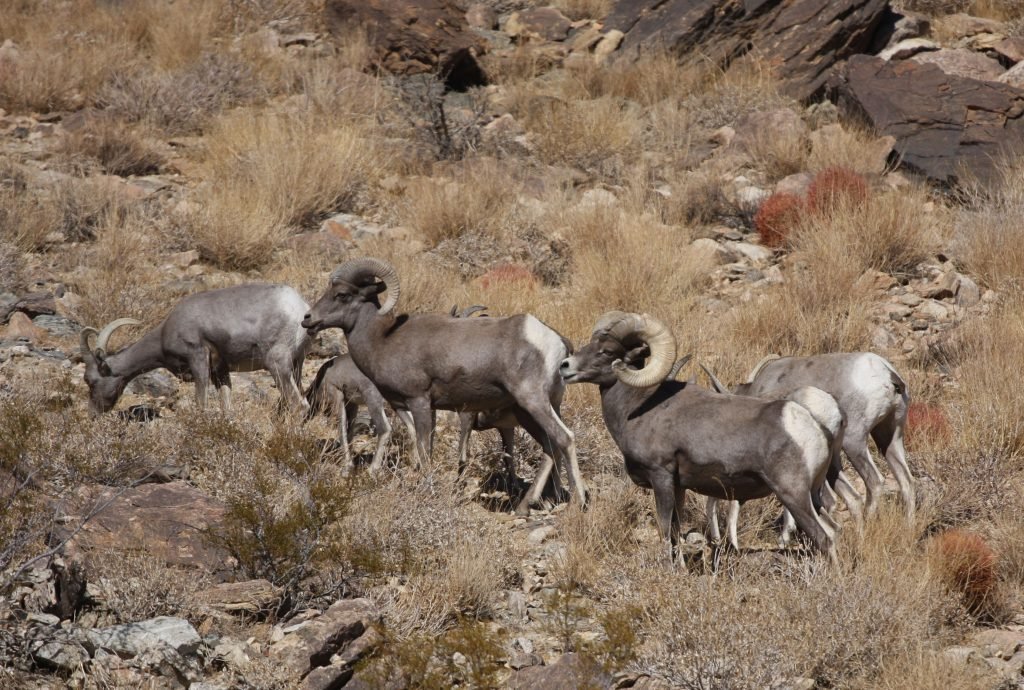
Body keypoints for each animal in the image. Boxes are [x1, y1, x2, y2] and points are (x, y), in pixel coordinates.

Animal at [80, 283, 310, 414]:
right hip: (296, 366)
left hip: (276, 364)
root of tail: (300, 308)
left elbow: (201, 404)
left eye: (90, 380)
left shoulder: (198, 358)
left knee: (299, 405)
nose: (93, 414)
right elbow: (226, 408)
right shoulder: (220, 370)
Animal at [301, 257, 586, 513]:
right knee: (550, 447)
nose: (307, 319)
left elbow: (425, 450)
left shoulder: (420, 402)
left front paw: (428, 490)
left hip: (533, 401)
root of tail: (556, 341)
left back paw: (577, 503)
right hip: (530, 410)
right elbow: (423, 445)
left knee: (564, 439)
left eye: (342, 294)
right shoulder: (411, 407)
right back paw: (525, 507)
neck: (382, 340)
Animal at [558, 311, 838, 562]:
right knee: (833, 530)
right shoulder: (679, 486)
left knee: (824, 538)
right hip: (814, 495)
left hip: (793, 494)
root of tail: (813, 426)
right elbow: (675, 531)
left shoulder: (661, 477)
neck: (637, 408)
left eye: (606, 351)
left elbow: (664, 530)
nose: (565, 367)